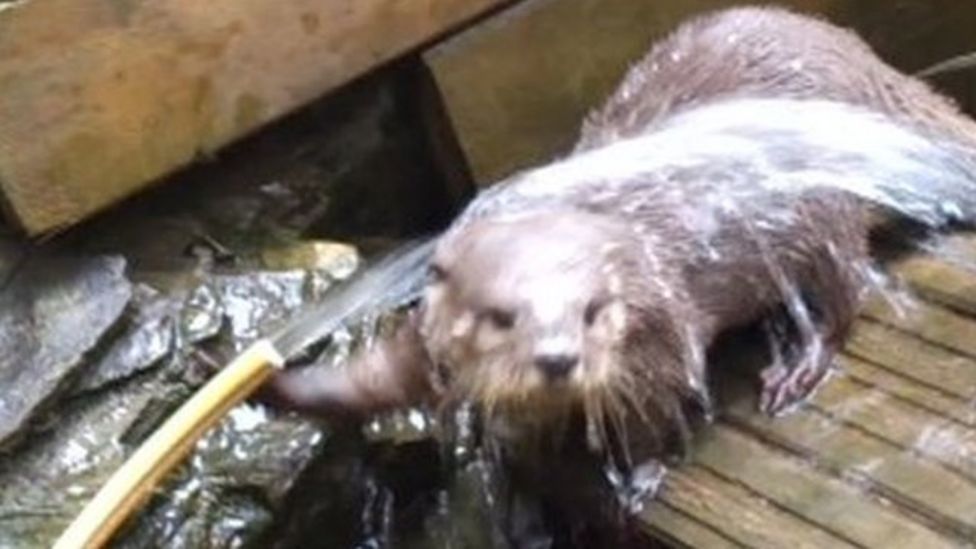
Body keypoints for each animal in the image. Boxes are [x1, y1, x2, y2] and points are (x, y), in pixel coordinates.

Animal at [260, 5, 976, 533]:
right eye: (499, 317)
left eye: (592, 310)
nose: (558, 360)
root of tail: (862, 65)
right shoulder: (430, 342)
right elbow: (375, 381)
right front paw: (276, 386)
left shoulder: (657, 330)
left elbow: (652, 407)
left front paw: (635, 475)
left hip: (821, 210)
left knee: (841, 291)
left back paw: (796, 366)